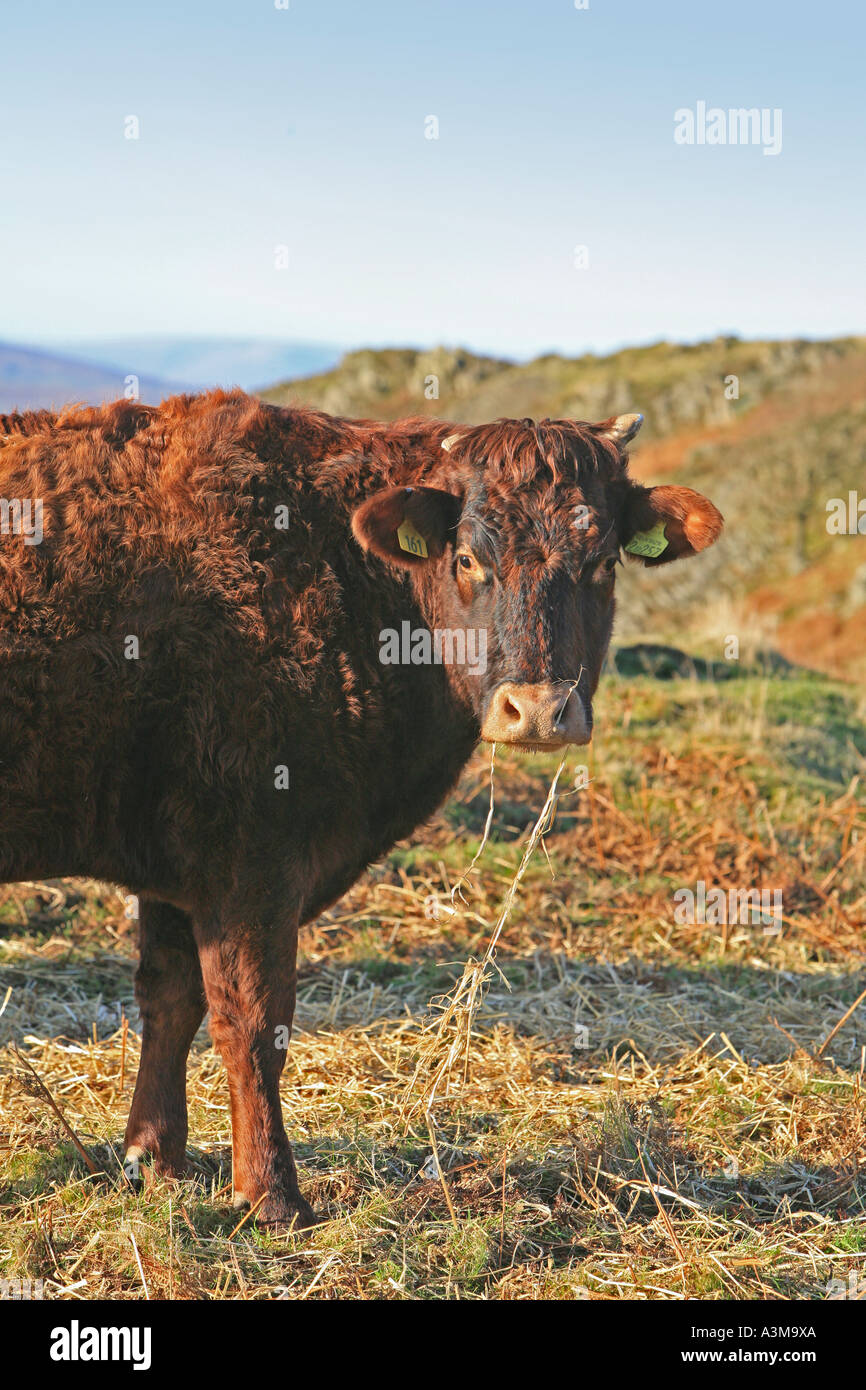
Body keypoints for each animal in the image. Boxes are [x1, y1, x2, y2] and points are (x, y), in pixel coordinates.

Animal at [0, 391, 722, 1226]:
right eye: (468, 559)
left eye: (604, 564)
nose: (540, 710)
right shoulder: (251, 855)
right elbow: (252, 1023)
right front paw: (272, 1194)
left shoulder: (179, 861)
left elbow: (170, 1000)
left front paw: (156, 1162)